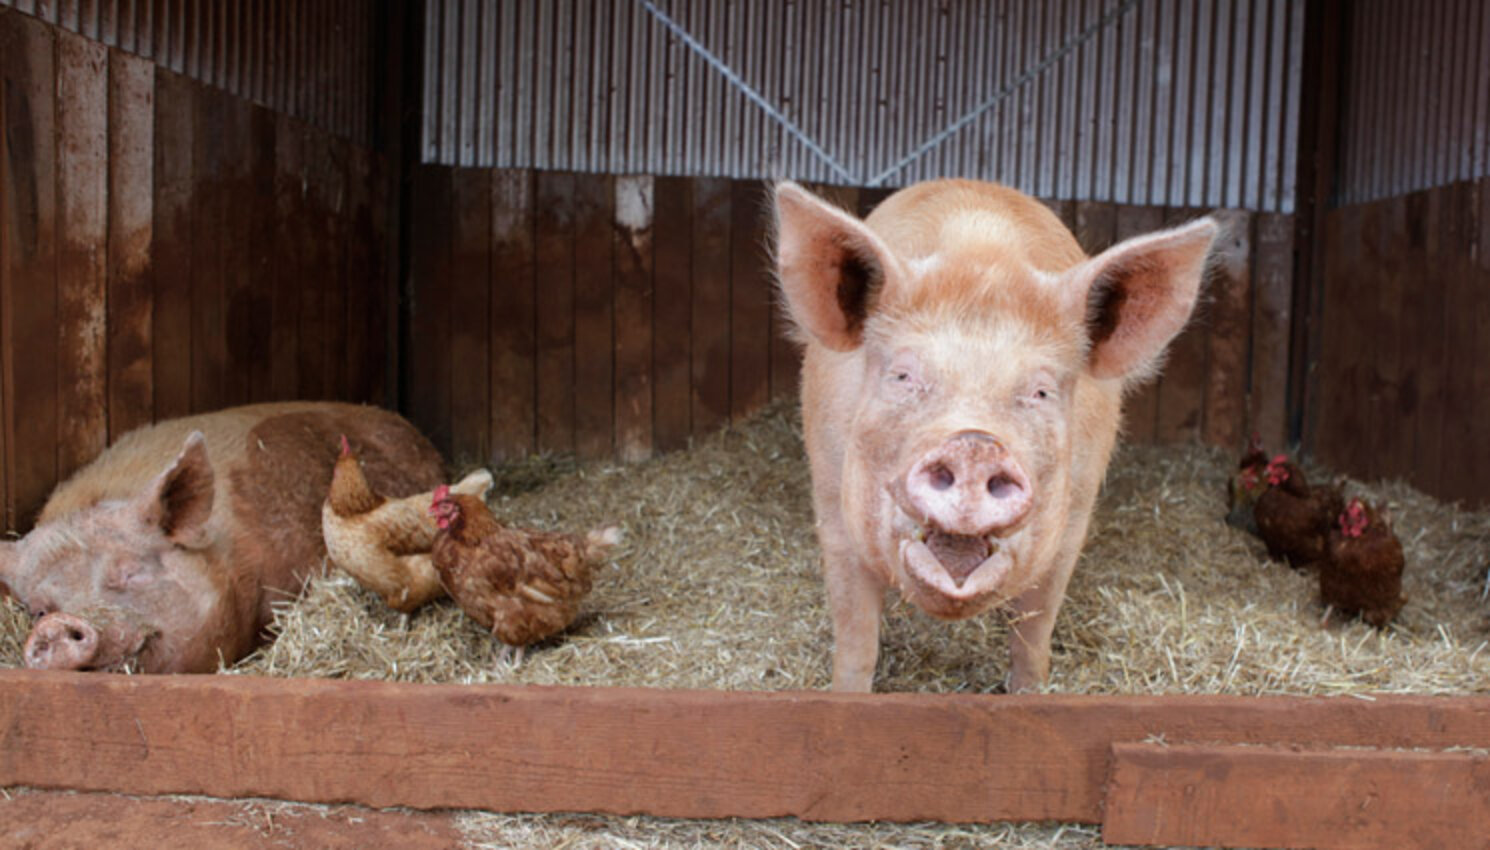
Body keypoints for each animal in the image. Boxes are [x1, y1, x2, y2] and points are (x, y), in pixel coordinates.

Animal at [774, 179, 1216, 692]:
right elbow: (856, 637)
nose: (975, 445)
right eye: (903, 376)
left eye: (1041, 391)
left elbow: (1034, 631)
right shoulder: (830, 499)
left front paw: (1028, 692)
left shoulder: (1075, 516)